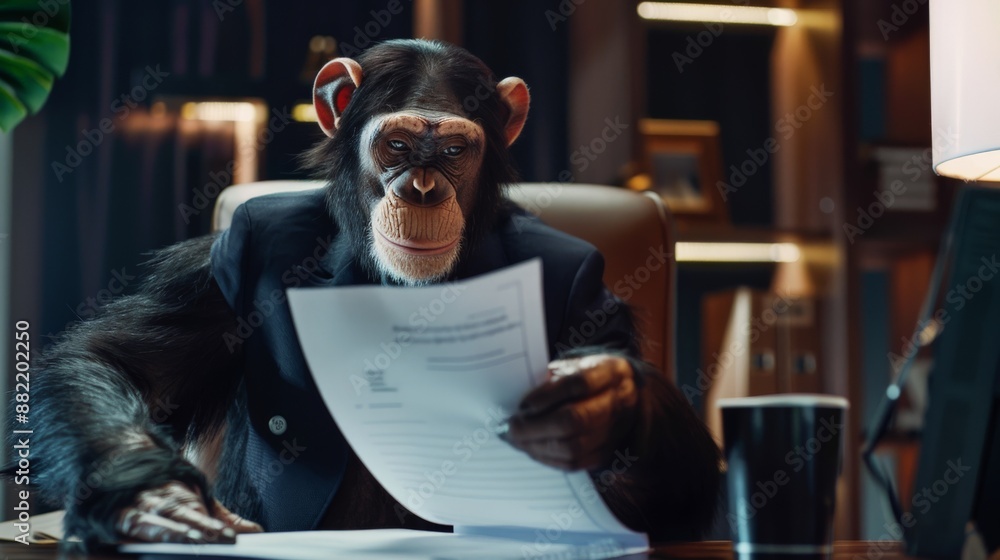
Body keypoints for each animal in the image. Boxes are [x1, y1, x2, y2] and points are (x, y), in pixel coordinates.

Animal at [24, 39, 721, 549]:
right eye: (398, 145)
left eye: (454, 148)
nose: (422, 189)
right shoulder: (224, 258)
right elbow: (120, 364)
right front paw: (152, 497)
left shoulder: (587, 290)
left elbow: (669, 494)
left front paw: (603, 401)